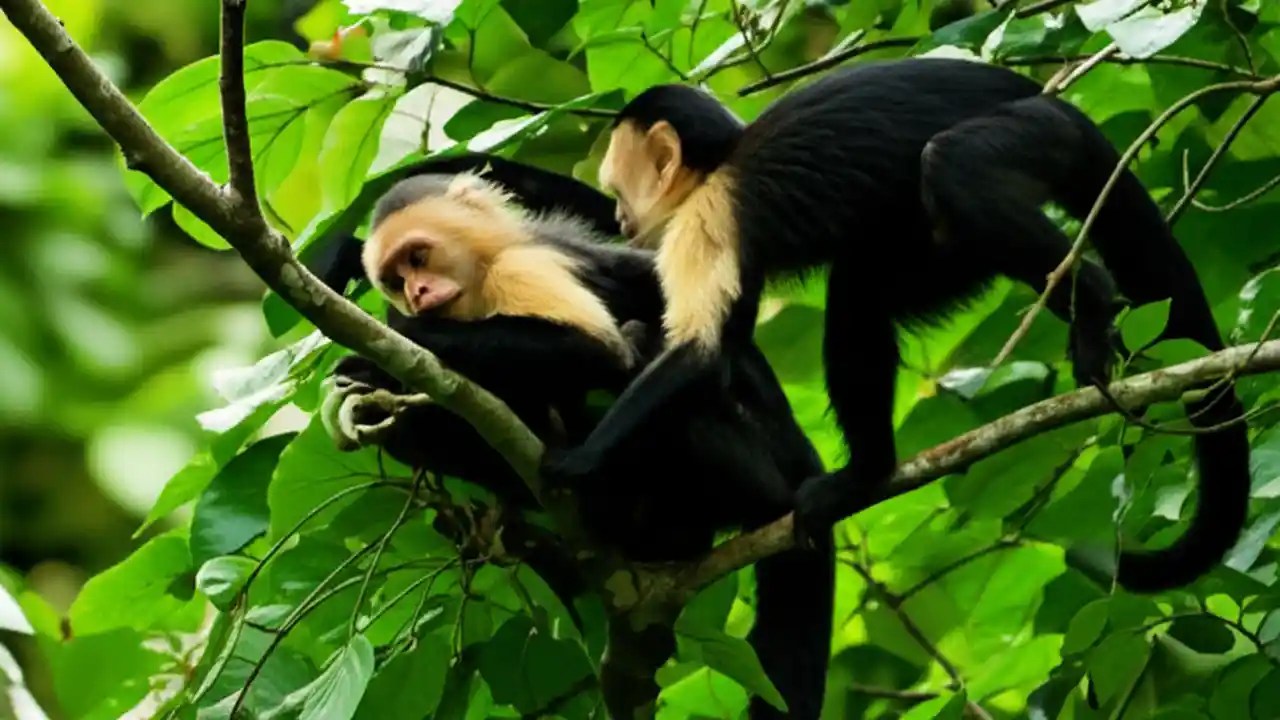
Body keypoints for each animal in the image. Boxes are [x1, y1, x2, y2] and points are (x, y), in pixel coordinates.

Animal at [316, 161, 835, 719]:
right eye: (395, 279)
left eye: (418, 257)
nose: (414, 294)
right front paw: (371, 381)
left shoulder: (522, 270)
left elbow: (596, 351)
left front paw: (390, 331)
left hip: (750, 464)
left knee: (651, 364)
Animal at [541, 56, 1252, 594]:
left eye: (618, 188)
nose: (619, 216)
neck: (717, 164)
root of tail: (1063, 109)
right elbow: (726, 354)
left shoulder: (707, 216)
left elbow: (700, 353)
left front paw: (581, 460)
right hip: (949, 253)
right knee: (862, 292)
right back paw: (870, 471)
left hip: (1037, 137)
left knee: (953, 166)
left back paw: (1095, 301)